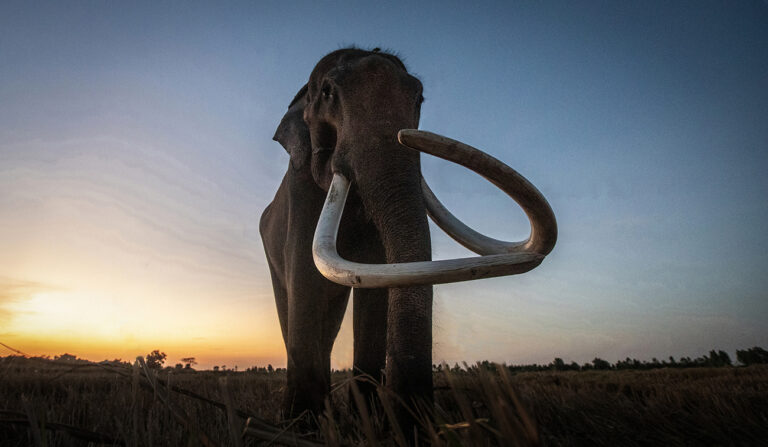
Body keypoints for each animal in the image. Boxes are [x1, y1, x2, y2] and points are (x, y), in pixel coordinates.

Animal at [259, 48, 557, 430]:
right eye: (327, 92)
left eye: (419, 97)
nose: (408, 136)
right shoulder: (300, 193)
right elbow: (307, 284)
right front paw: (302, 427)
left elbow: (376, 287)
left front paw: (370, 424)